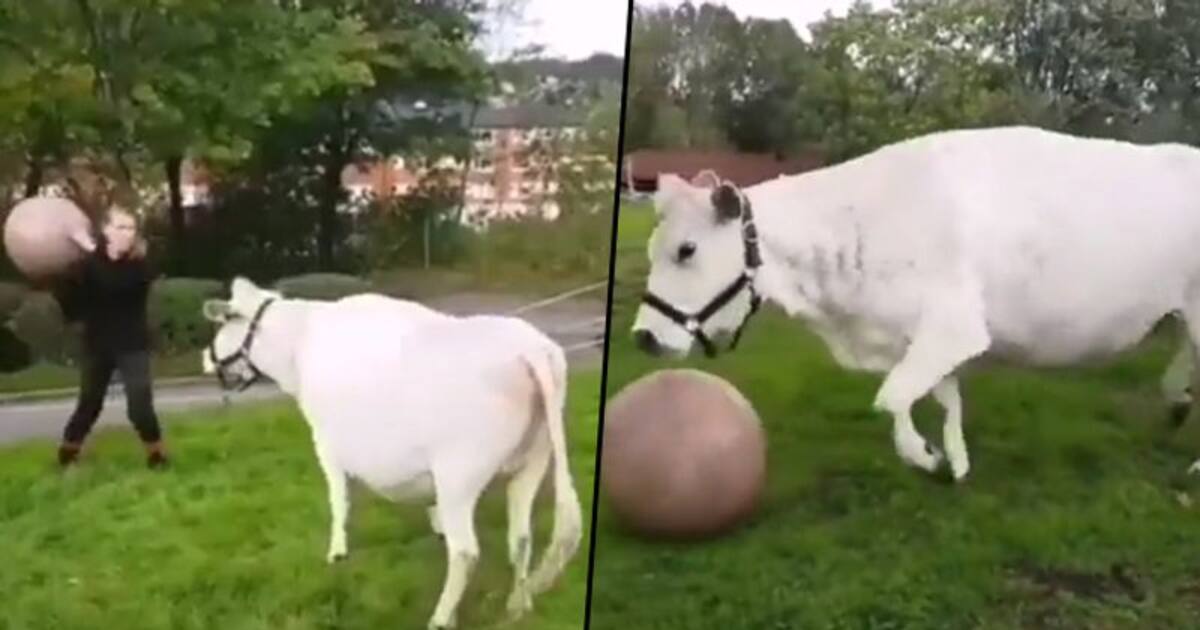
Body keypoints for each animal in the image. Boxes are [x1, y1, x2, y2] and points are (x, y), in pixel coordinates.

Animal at [201, 278, 582, 629]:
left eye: (223, 322)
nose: (206, 358)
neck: (299, 342)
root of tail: (531, 348)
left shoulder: (325, 441)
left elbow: (338, 501)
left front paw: (337, 552)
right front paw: (435, 523)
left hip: (460, 474)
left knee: (464, 552)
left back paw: (441, 618)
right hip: (533, 460)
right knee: (520, 538)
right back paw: (518, 606)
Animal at [632, 125, 1200, 482]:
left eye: (686, 250)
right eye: (652, 248)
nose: (643, 336)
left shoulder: (955, 328)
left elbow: (891, 397)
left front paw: (923, 457)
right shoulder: (921, 336)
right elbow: (942, 398)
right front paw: (953, 458)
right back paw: (1176, 403)